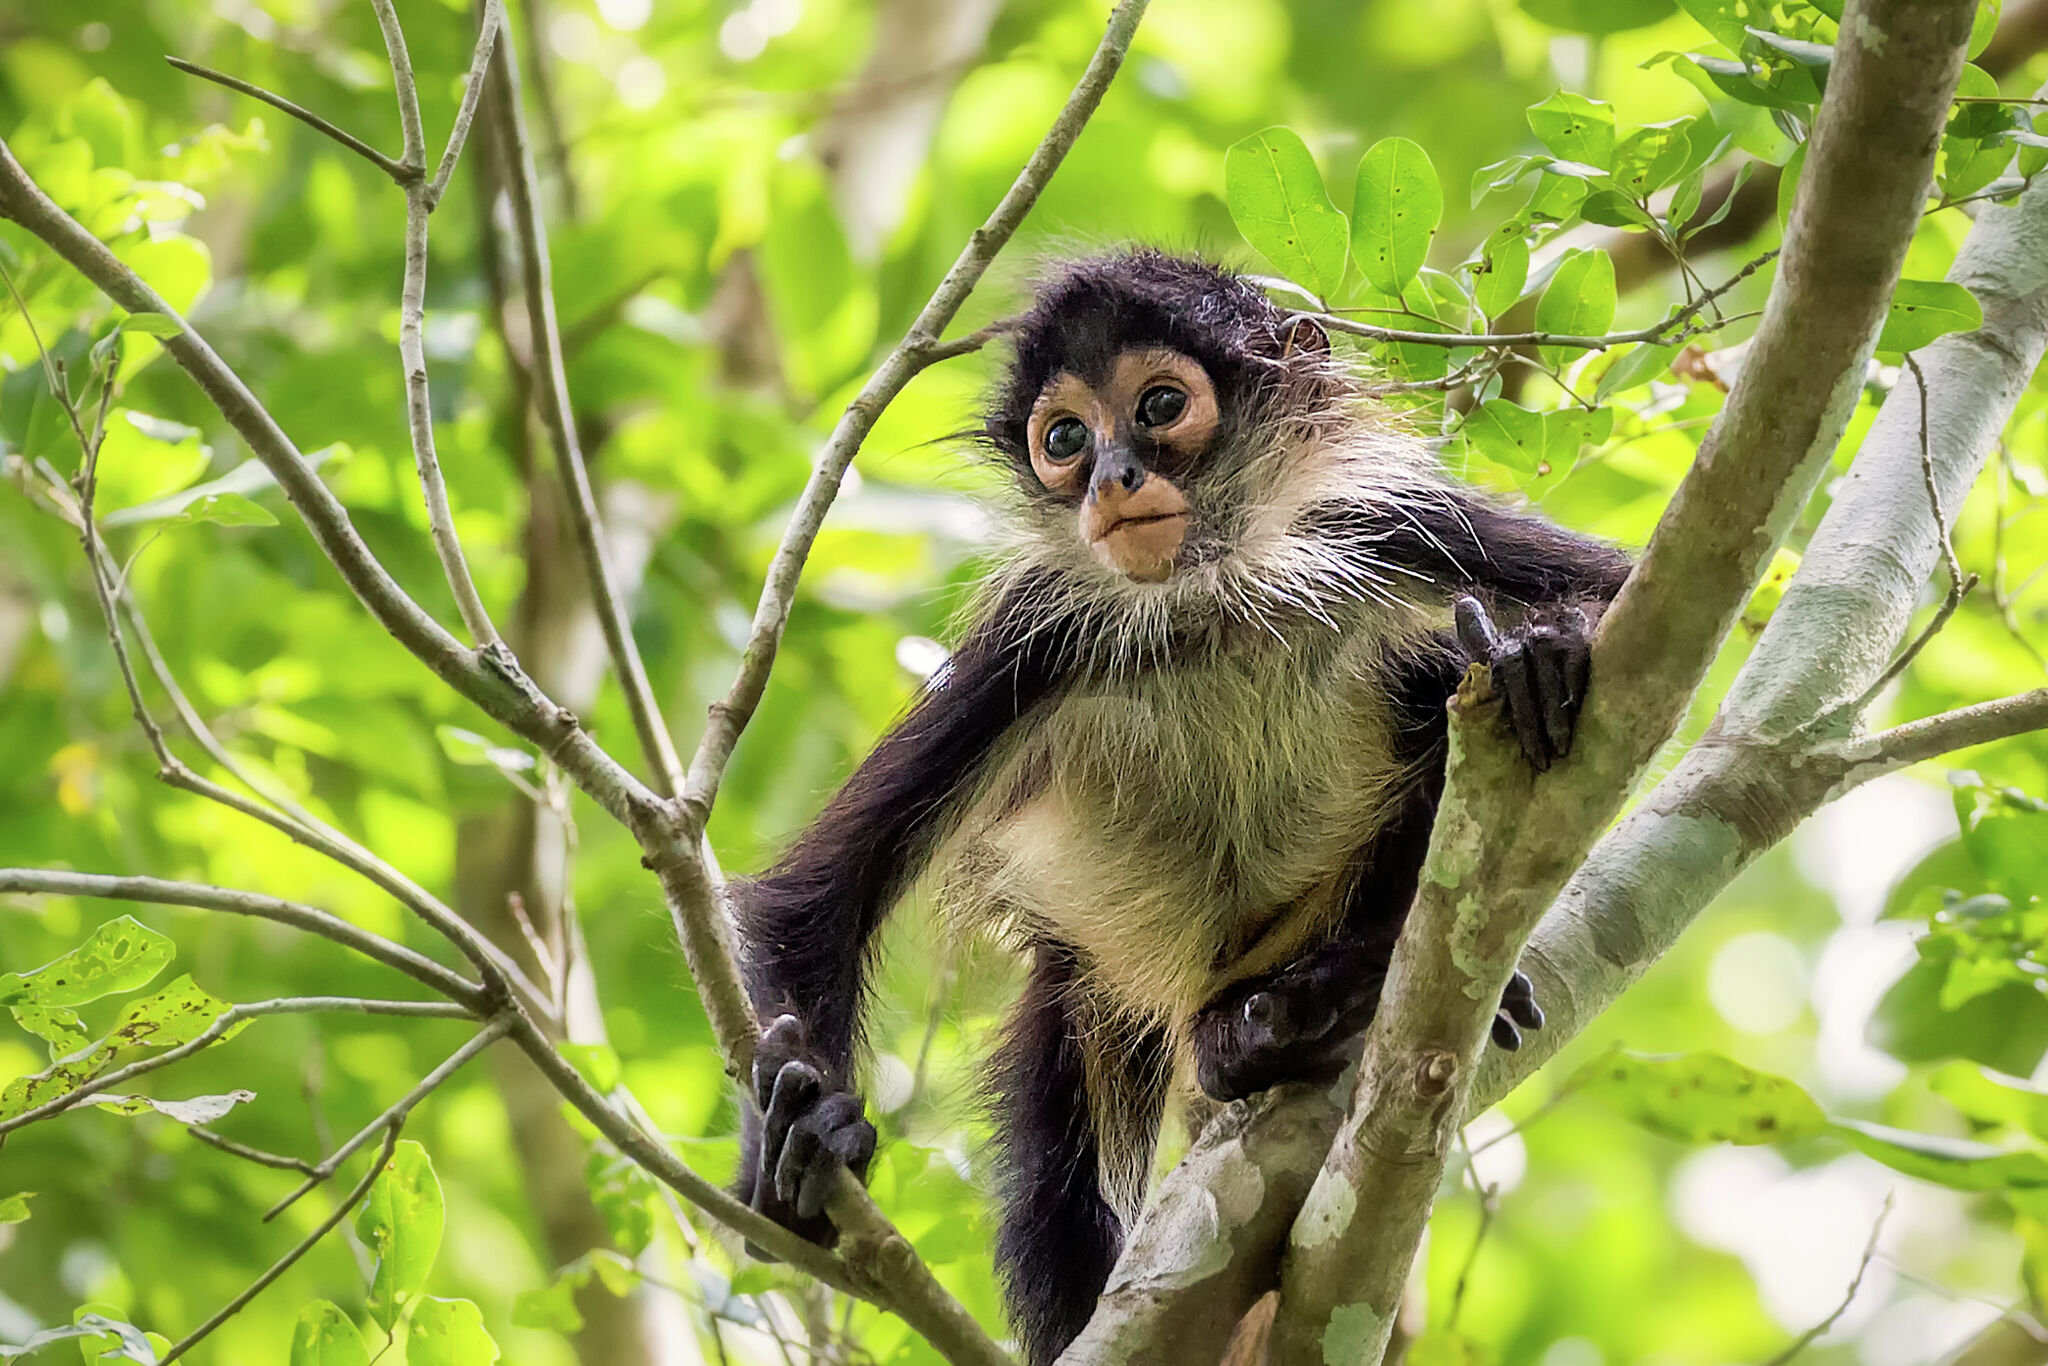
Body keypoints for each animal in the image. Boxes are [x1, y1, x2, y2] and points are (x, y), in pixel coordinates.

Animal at [732, 249, 1631, 1366]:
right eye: (1064, 440)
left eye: (1160, 406)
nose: (1111, 477)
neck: (1208, 605)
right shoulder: (1037, 640)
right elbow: (818, 892)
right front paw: (801, 1151)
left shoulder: (1380, 525)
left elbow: (1635, 597)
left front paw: (1539, 650)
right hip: (1088, 985)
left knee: (1427, 681)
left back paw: (1311, 1002)